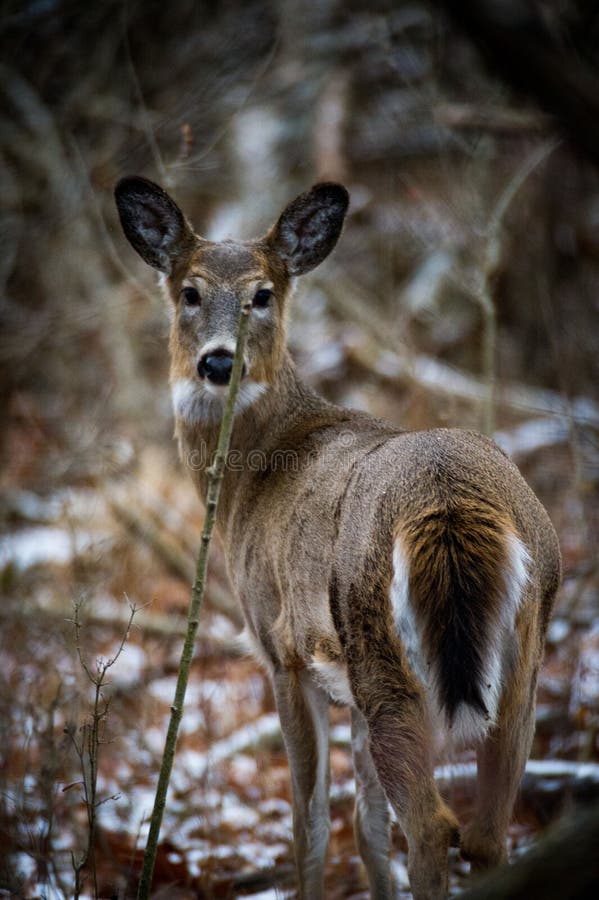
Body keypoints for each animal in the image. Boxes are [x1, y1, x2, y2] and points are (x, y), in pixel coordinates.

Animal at [115, 176, 561, 900]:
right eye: (189, 290)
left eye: (262, 293)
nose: (218, 362)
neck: (255, 470)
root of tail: (451, 505)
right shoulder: (341, 684)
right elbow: (367, 825)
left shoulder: (280, 650)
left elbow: (312, 820)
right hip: (522, 654)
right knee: (487, 833)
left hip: (381, 656)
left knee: (433, 827)